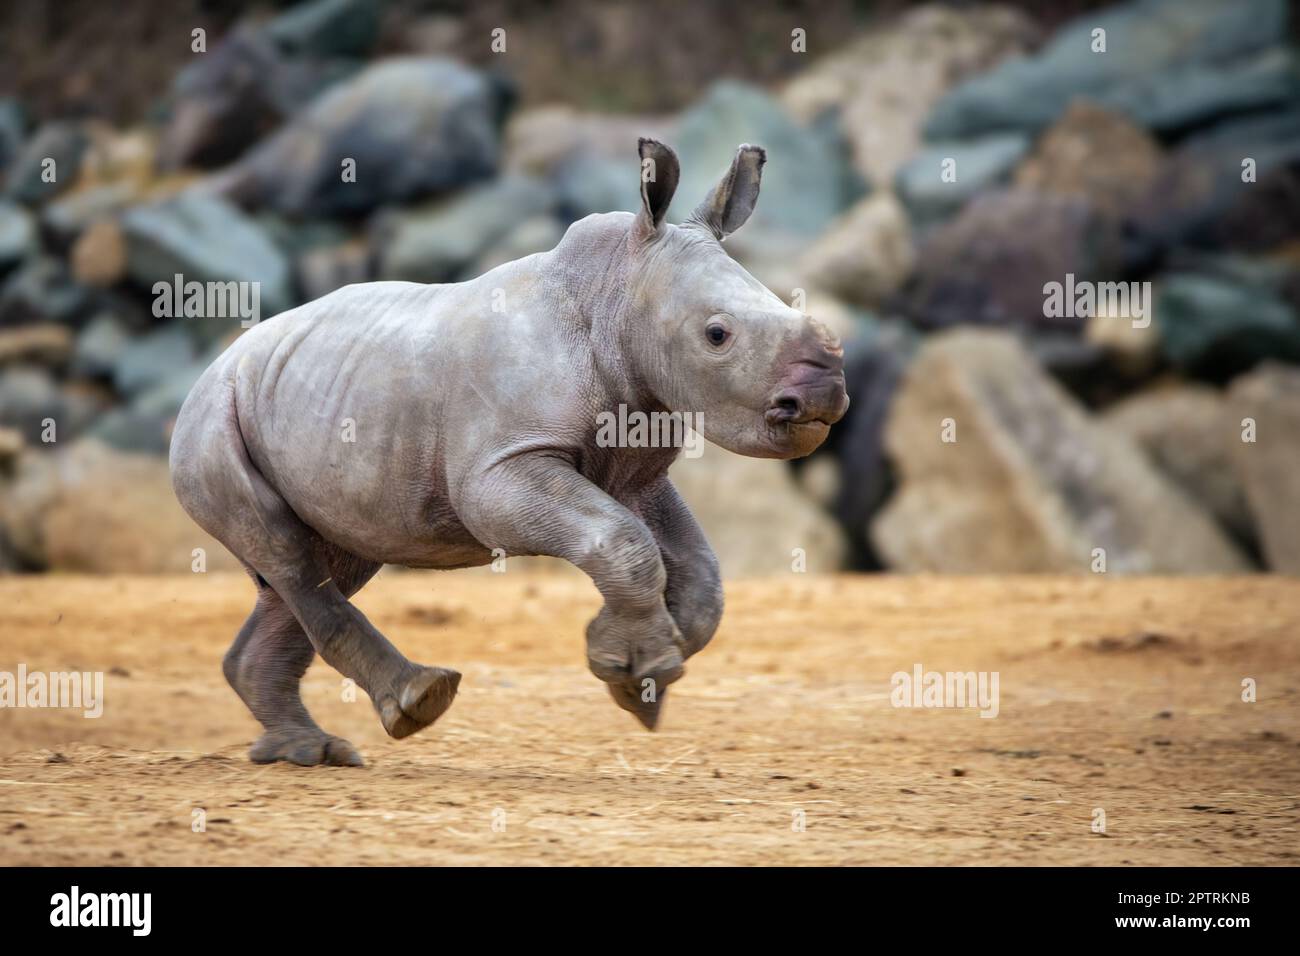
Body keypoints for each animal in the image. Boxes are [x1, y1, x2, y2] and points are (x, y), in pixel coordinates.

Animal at [170, 139, 849, 767]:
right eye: (717, 335)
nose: (822, 394)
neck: (615, 295)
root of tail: (214, 367)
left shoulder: (636, 465)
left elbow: (694, 568)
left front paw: (638, 677)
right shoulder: (499, 469)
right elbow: (625, 542)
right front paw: (634, 662)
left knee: (326, 562)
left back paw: (309, 751)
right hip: (213, 422)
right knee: (289, 557)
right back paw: (414, 703)